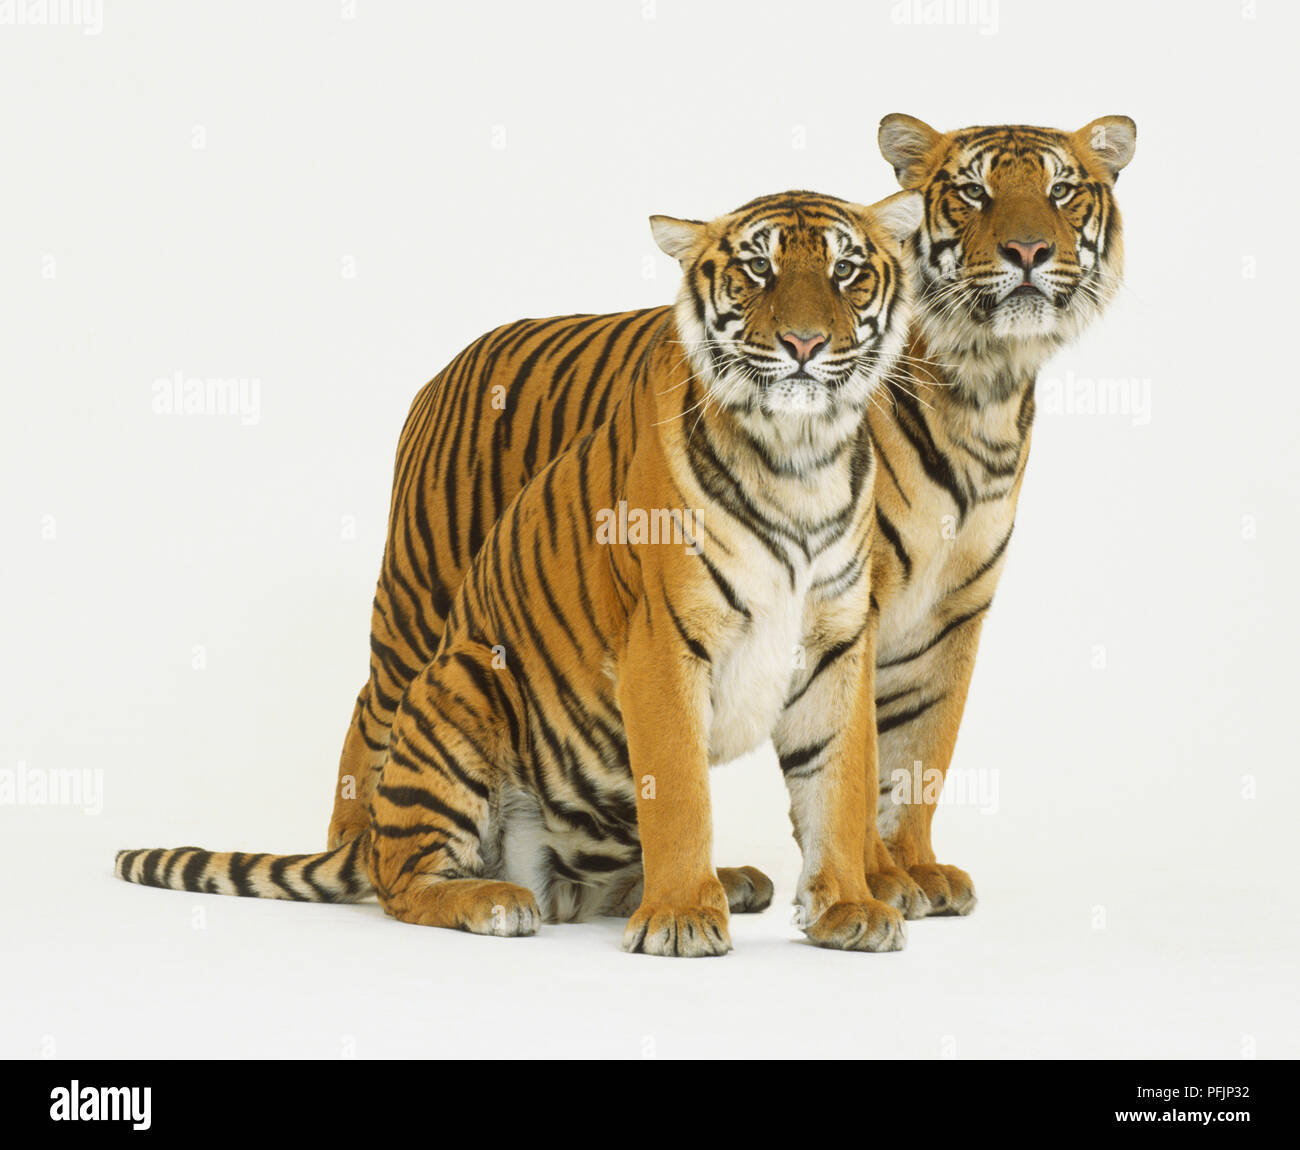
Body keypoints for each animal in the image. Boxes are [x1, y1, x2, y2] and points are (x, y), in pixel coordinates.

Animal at [117, 188, 926, 956]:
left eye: (845, 270)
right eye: (758, 269)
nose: (804, 342)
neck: (801, 456)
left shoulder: (835, 643)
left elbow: (838, 786)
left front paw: (848, 908)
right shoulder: (663, 642)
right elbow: (681, 794)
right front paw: (682, 918)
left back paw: (715, 882)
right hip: (454, 670)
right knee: (399, 872)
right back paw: (493, 899)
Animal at [317, 114, 1136, 919]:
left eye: (1061, 192)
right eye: (972, 192)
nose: (1027, 251)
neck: (977, 388)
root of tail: (452, 363)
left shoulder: (952, 615)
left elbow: (919, 756)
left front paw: (913, 868)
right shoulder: (857, 604)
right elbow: (866, 751)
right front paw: (882, 880)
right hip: (424, 606)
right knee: (372, 722)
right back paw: (366, 858)